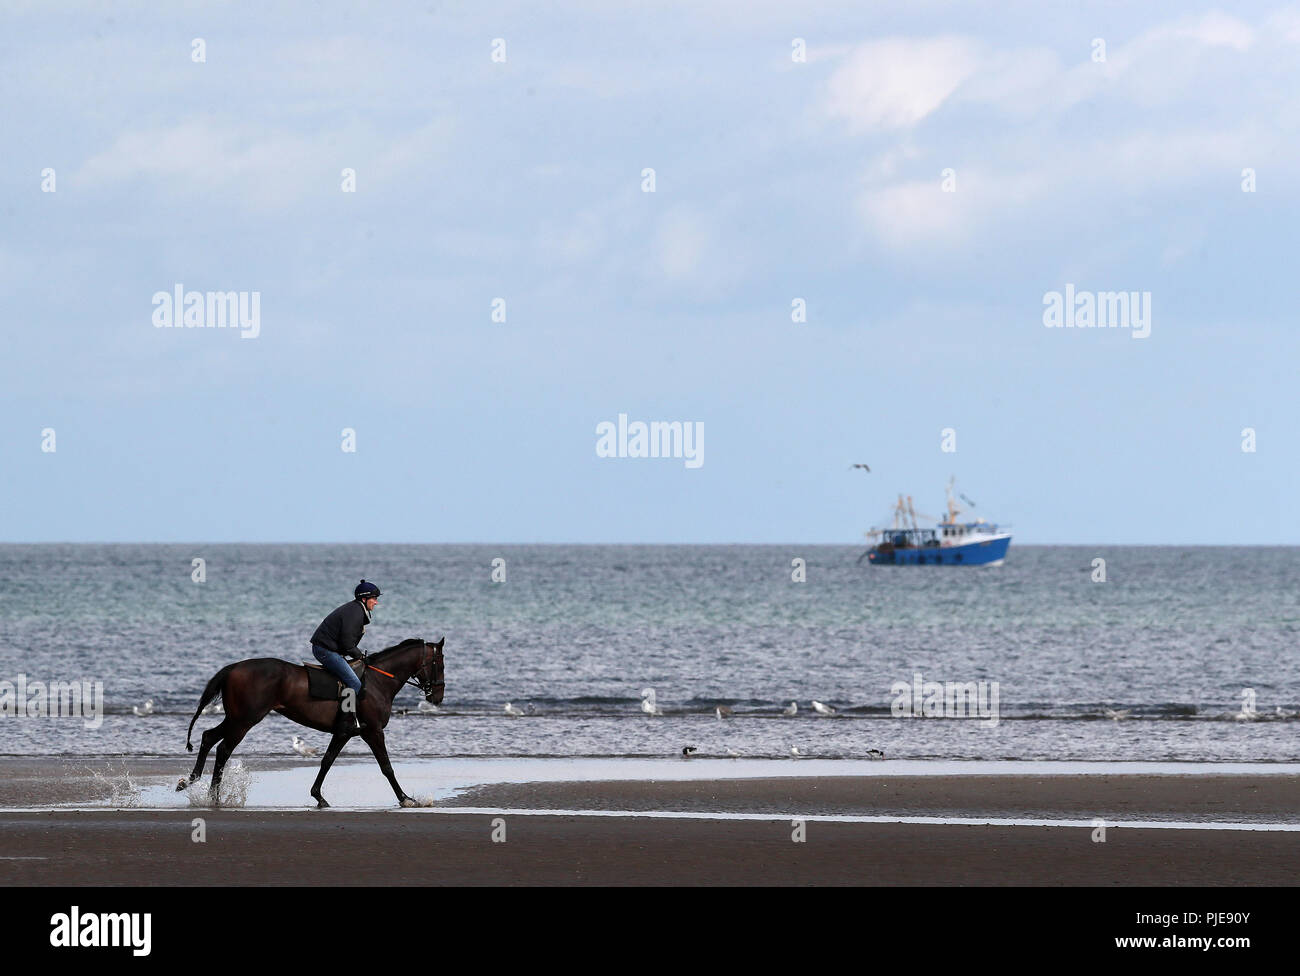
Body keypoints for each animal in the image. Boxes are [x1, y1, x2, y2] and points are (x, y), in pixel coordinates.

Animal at [178, 638, 445, 808]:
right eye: (439, 663)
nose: (438, 697)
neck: (379, 681)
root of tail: (234, 668)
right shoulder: (372, 731)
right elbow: (386, 767)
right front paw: (405, 798)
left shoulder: (345, 733)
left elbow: (327, 760)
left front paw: (318, 796)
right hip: (244, 720)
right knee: (223, 748)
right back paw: (212, 796)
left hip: (236, 718)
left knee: (208, 737)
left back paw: (194, 783)